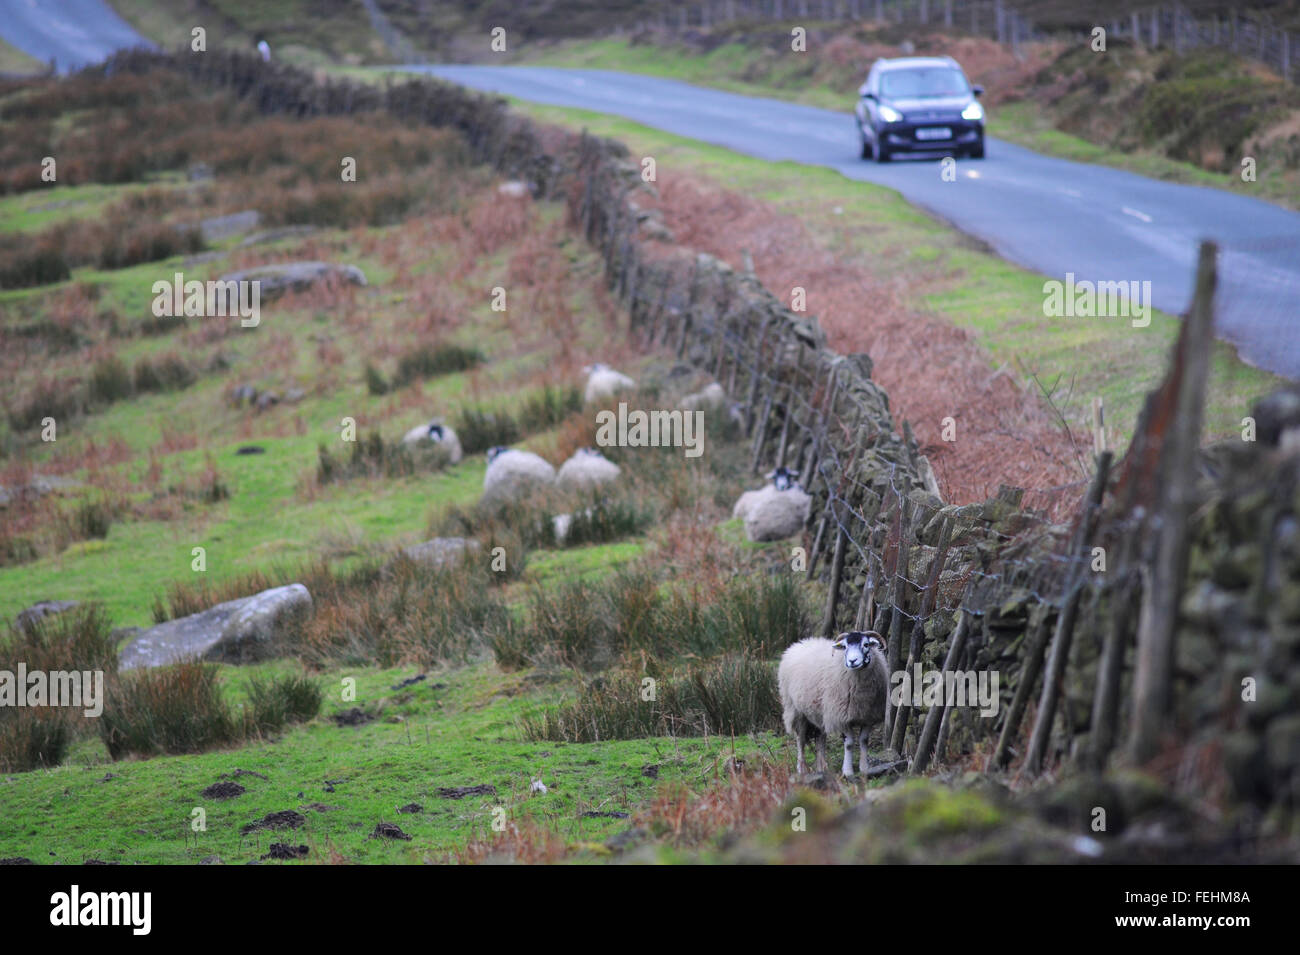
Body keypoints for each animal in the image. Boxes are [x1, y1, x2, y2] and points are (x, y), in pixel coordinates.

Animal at [778, 630, 889, 776]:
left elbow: (864, 741)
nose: (852, 661)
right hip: (796, 710)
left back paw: (822, 768)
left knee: (820, 739)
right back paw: (801, 769)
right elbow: (849, 744)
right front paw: (847, 772)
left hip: (819, 713)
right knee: (800, 740)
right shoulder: (841, 716)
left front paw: (865, 768)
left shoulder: (868, 717)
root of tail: (799, 644)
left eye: (866, 645)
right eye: (845, 646)